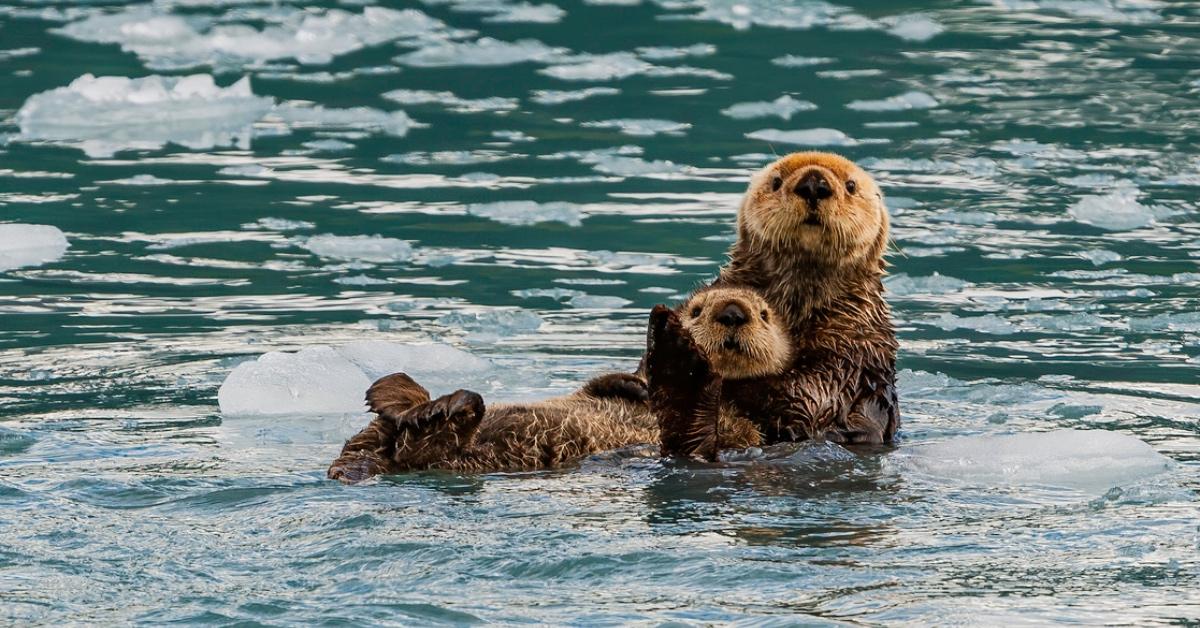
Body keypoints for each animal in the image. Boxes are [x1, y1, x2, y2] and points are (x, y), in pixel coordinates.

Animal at [328, 287, 792, 483]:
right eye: (697, 308)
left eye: (763, 313)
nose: (731, 312)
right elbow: (605, 384)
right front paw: (634, 384)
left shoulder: (747, 432)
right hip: (382, 444)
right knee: (376, 434)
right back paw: (401, 392)